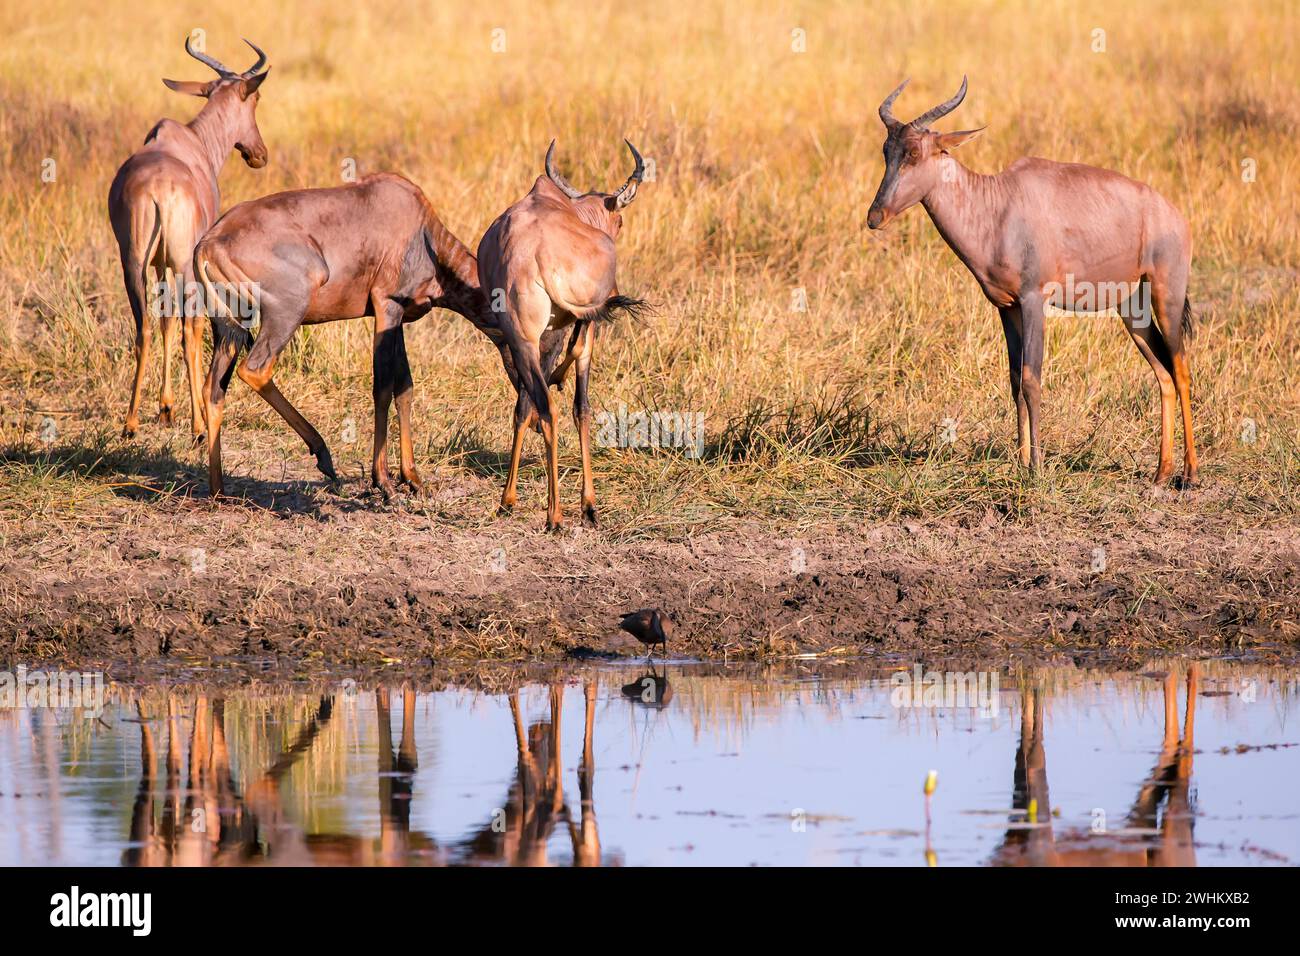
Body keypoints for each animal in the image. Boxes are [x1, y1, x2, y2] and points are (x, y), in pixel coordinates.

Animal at [107, 36, 270, 442]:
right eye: (256, 98)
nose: (259, 154)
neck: (192, 142)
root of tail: (159, 190)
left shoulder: (158, 263)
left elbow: (165, 323)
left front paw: (165, 409)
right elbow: (188, 327)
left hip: (133, 262)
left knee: (146, 328)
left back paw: (130, 423)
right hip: (185, 263)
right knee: (189, 330)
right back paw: (199, 427)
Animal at [194, 173, 501, 499]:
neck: (419, 228)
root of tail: (208, 244)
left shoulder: (397, 319)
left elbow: (405, 388)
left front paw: (413, 479)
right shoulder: (386, 306)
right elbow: (383, 388)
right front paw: (384, 483)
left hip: (229, 327)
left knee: (213, 389)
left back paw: (218, 490)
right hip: (285, 313)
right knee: (254, 370)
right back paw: (323, 455)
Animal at [478, 140, 649, 530]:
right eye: (621, 219)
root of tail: (537, 255)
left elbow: (530, 405)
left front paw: (509, 499)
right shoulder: (586, 317)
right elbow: (579, 398)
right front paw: (589, 505)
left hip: (523, 338)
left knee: (539, 405)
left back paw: (525, 505)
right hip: (570, 320)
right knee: (557, 399)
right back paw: (555, 514)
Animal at [868, 78, 1198, 486]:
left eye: (914, 152)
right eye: (886, 150)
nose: (874, 216)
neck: (997, 205)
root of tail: (1175, 215)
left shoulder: (1033, 301)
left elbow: (1031, 379)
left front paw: (1037, 469)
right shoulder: (1006, 307)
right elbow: (1013, 380)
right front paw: (1021, 462)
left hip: (1167, 294)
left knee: (1181, 370)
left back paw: (1190, 472)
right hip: (1131, 309)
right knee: (1163, 374)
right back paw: (1161, 472)